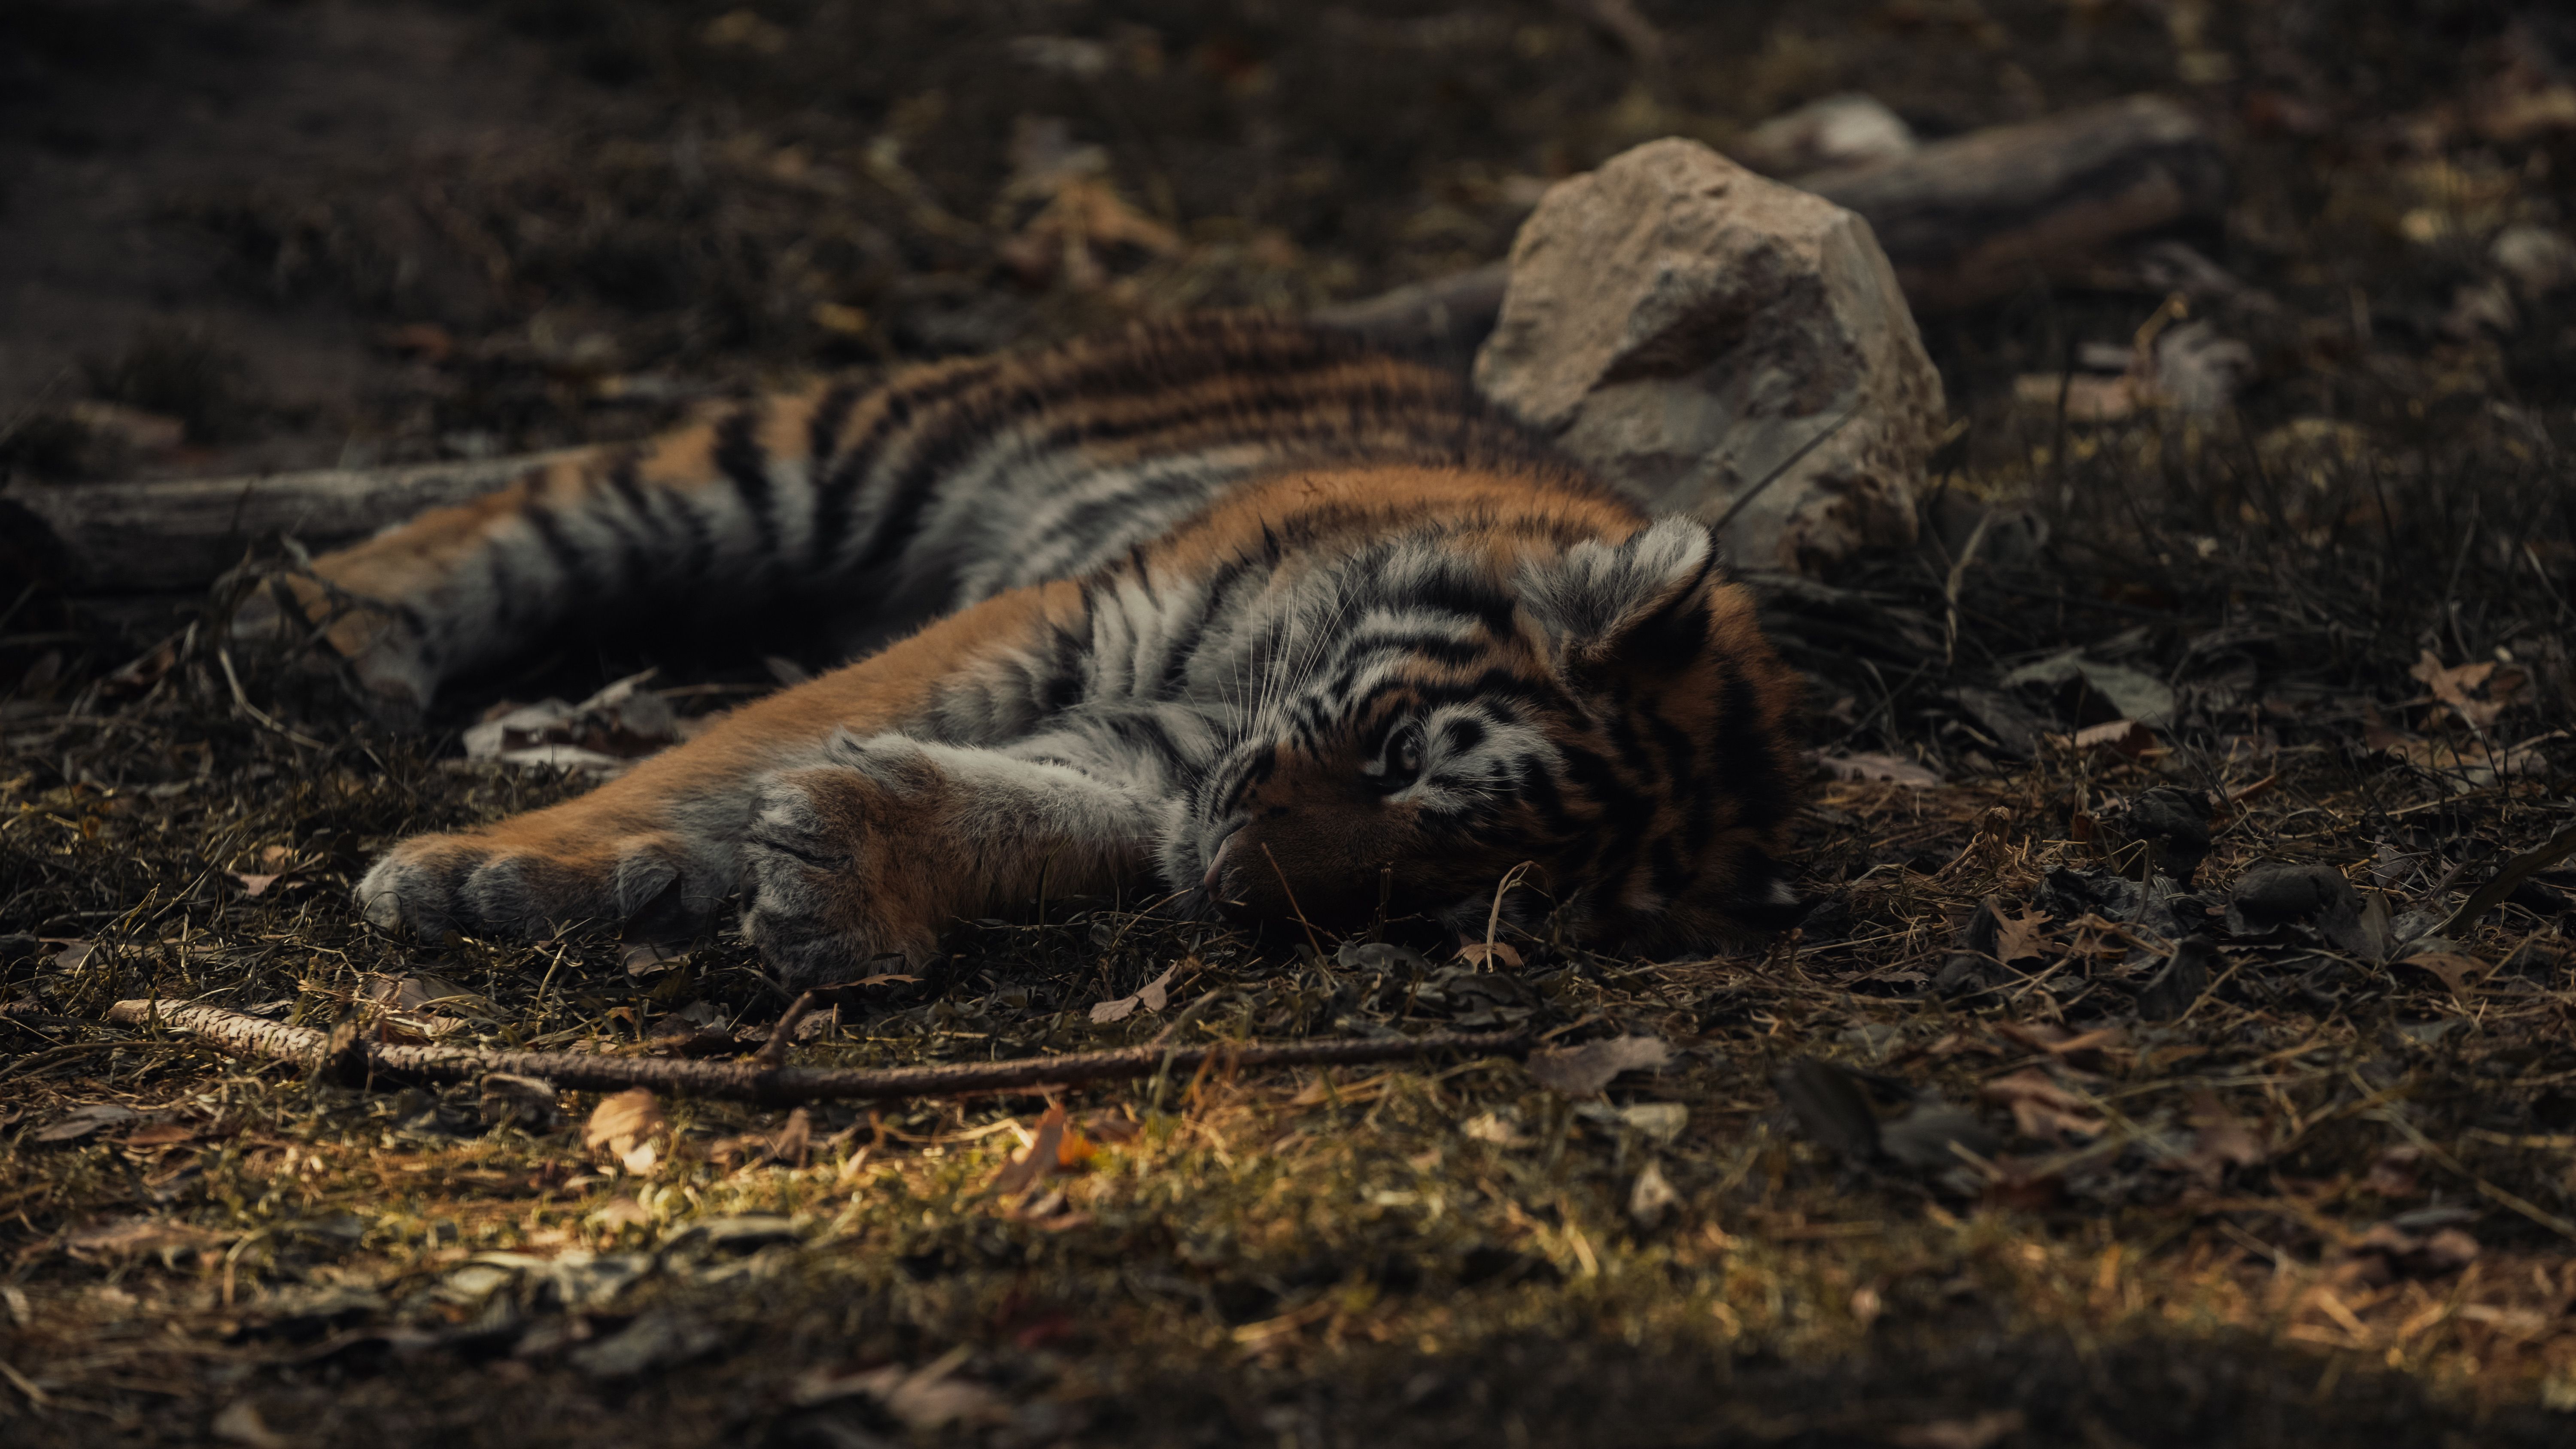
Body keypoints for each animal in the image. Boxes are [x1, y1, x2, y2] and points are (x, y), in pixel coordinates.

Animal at [253, 315, 1808, 985]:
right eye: (1404, 754)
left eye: (1450, 908)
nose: (1235, 893)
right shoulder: (1061, 619)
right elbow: (723, 748)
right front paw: (479, 869)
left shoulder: (1164, 772)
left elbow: (1033, 816)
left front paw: (846, 873)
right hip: (826, 457)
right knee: (540, 507)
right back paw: (340, 630)